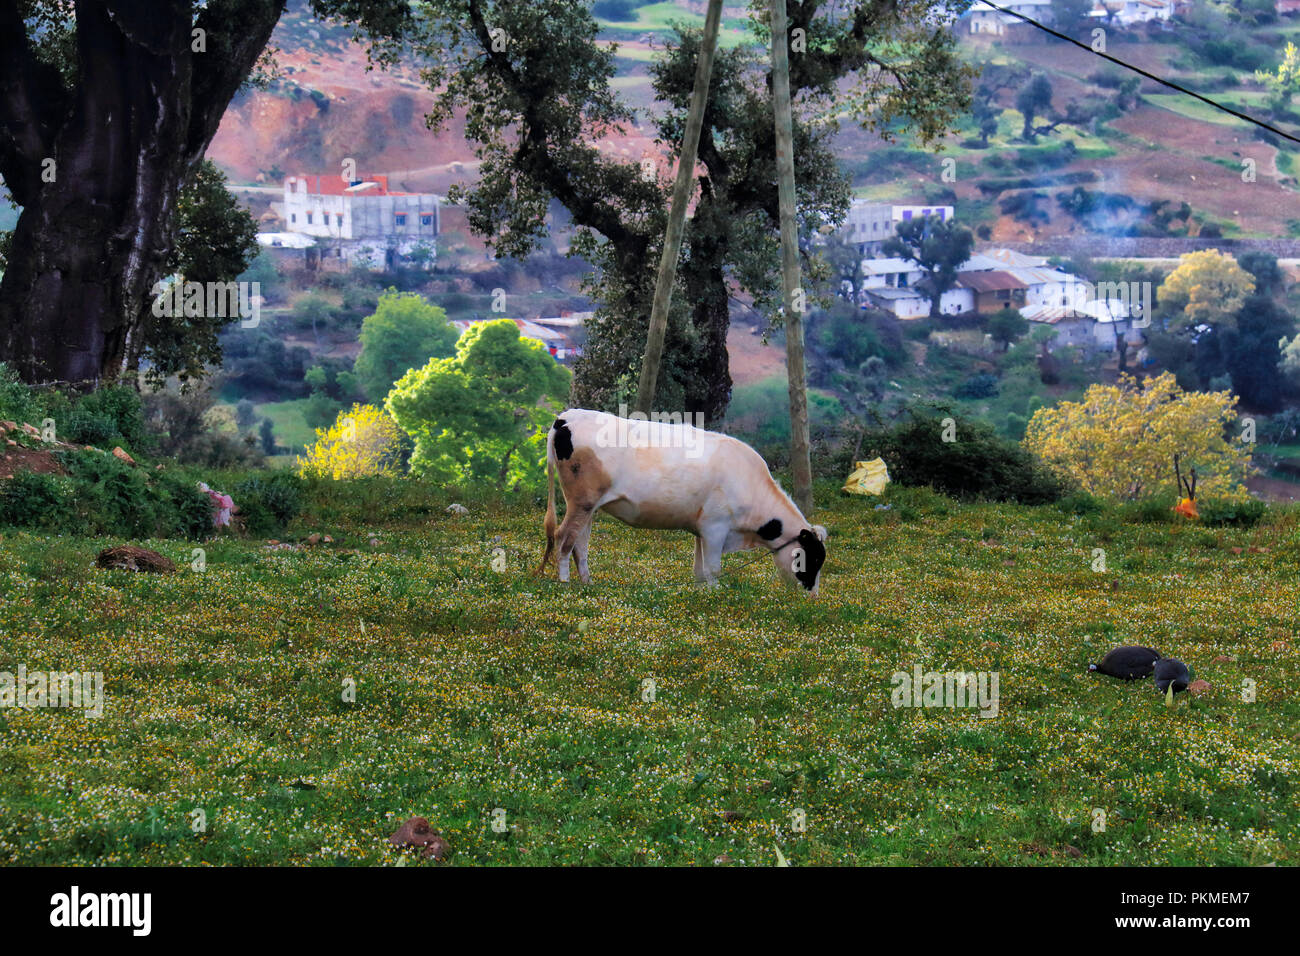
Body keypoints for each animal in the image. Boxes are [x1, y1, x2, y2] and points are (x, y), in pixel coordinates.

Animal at [538, 409, 827, 595]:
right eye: (810, 559)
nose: (812, 595)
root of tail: (567, 417)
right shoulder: (716, 527)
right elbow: (713, 568)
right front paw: (716, 593)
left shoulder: (702, 529)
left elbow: (699, 568)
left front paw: (700, 593)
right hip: (581, 502)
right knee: (564, 537)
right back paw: (564, 582)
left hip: (589, 507)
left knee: (580, 544)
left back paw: (587, 582)